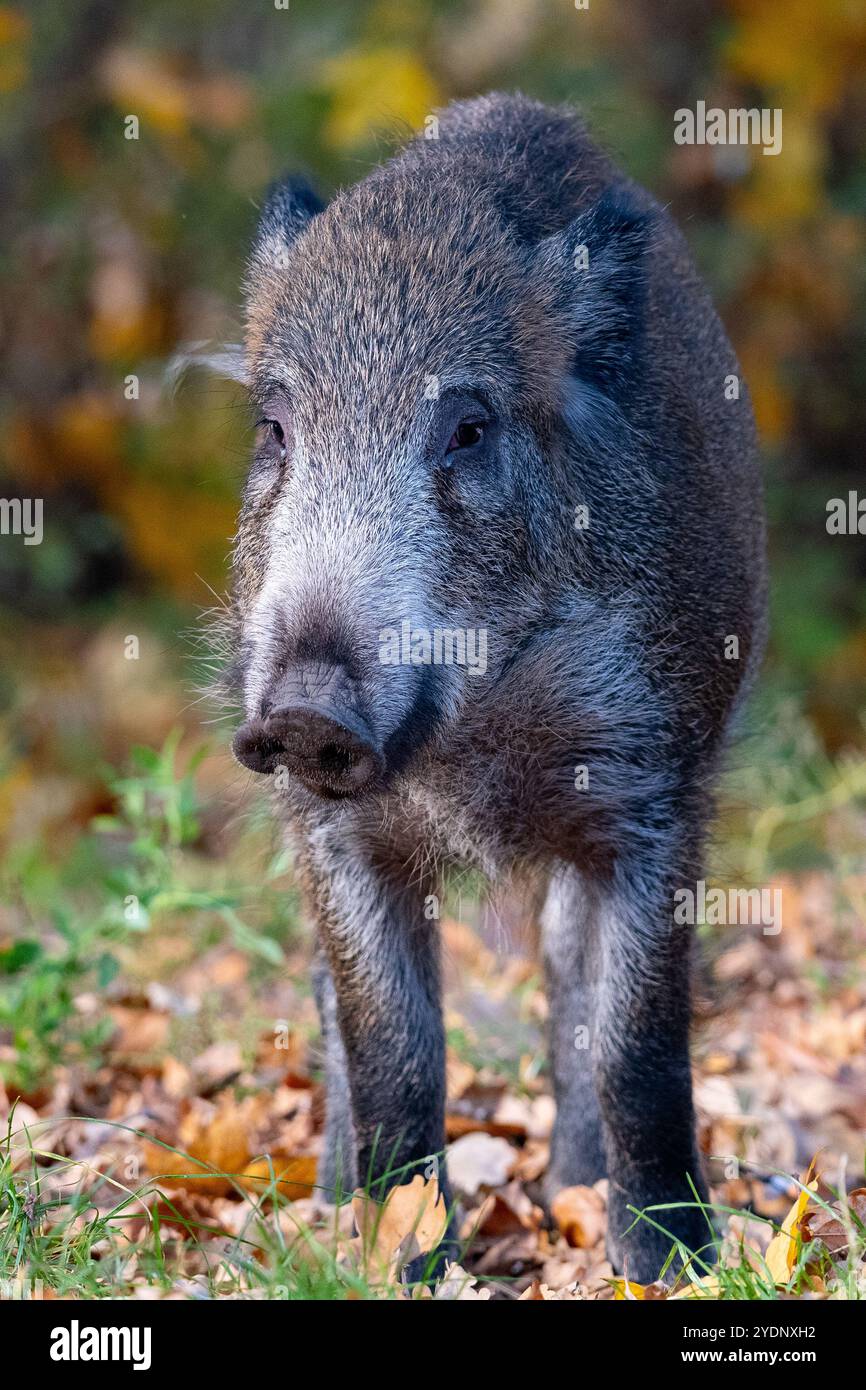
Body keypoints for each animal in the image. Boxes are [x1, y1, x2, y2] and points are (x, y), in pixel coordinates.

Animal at [227, 93, 767, 1281]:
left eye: (468, 429)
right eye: (276, 429)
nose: (305, 710)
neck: (468, 744)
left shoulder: (653, 786)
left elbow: (635, 1042)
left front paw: (666, 1266)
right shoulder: (332, 830)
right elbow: (392, 1048)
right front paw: (391, 1263)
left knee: (570, 990)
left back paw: (571, 1191)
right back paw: (327, 1201)